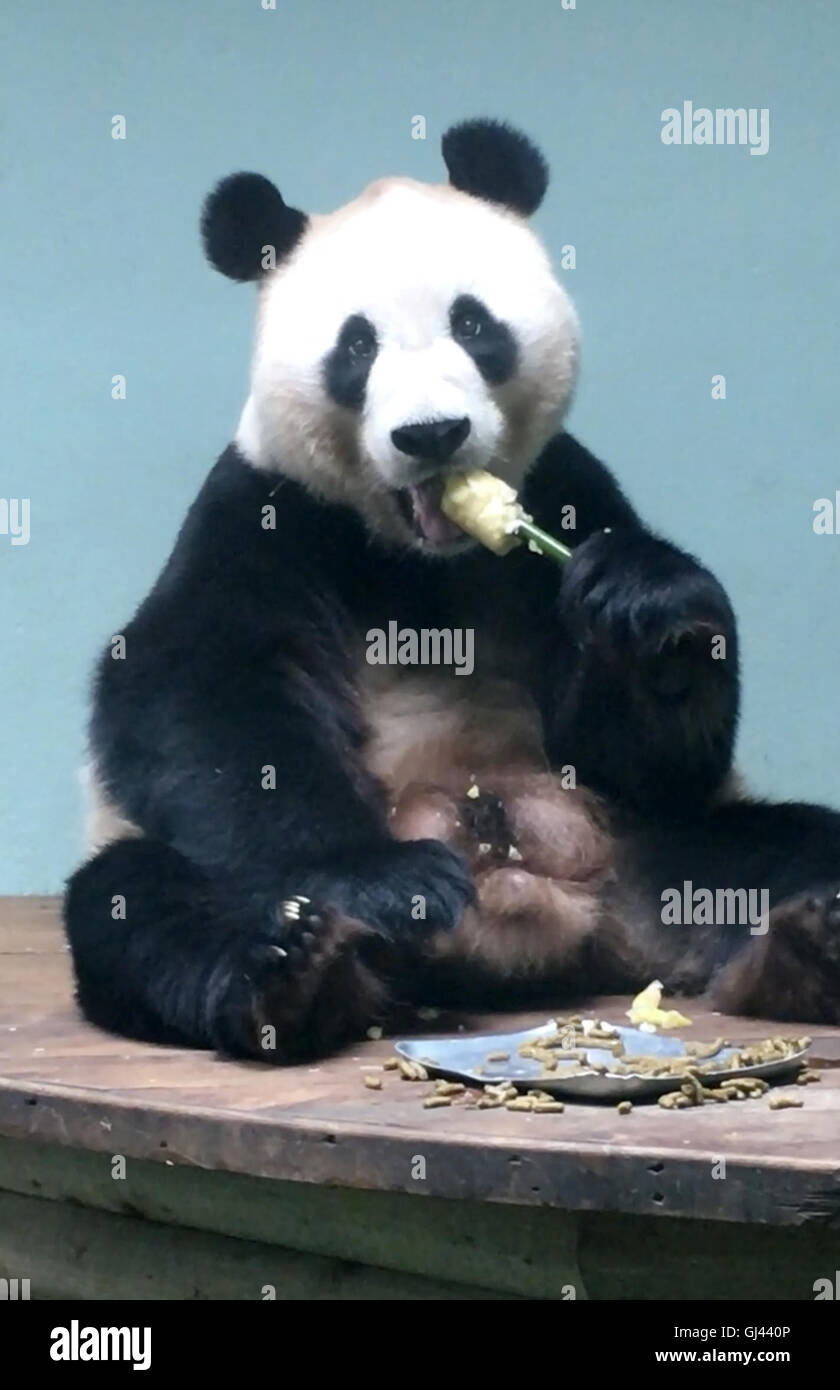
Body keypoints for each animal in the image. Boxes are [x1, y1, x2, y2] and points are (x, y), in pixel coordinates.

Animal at [65, 119, 840, 1062]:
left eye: (472, 323)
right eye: (356, 346)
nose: (431, 433)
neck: (421, 554)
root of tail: (545, 934)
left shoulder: (562, 489)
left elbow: (633, 754)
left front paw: (649, 615)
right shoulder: (266, 511)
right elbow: (202, 694)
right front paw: (388, 883)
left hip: (649, 845)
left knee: (786, 846)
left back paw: (807, 947)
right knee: (139, 899)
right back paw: (291, 973)